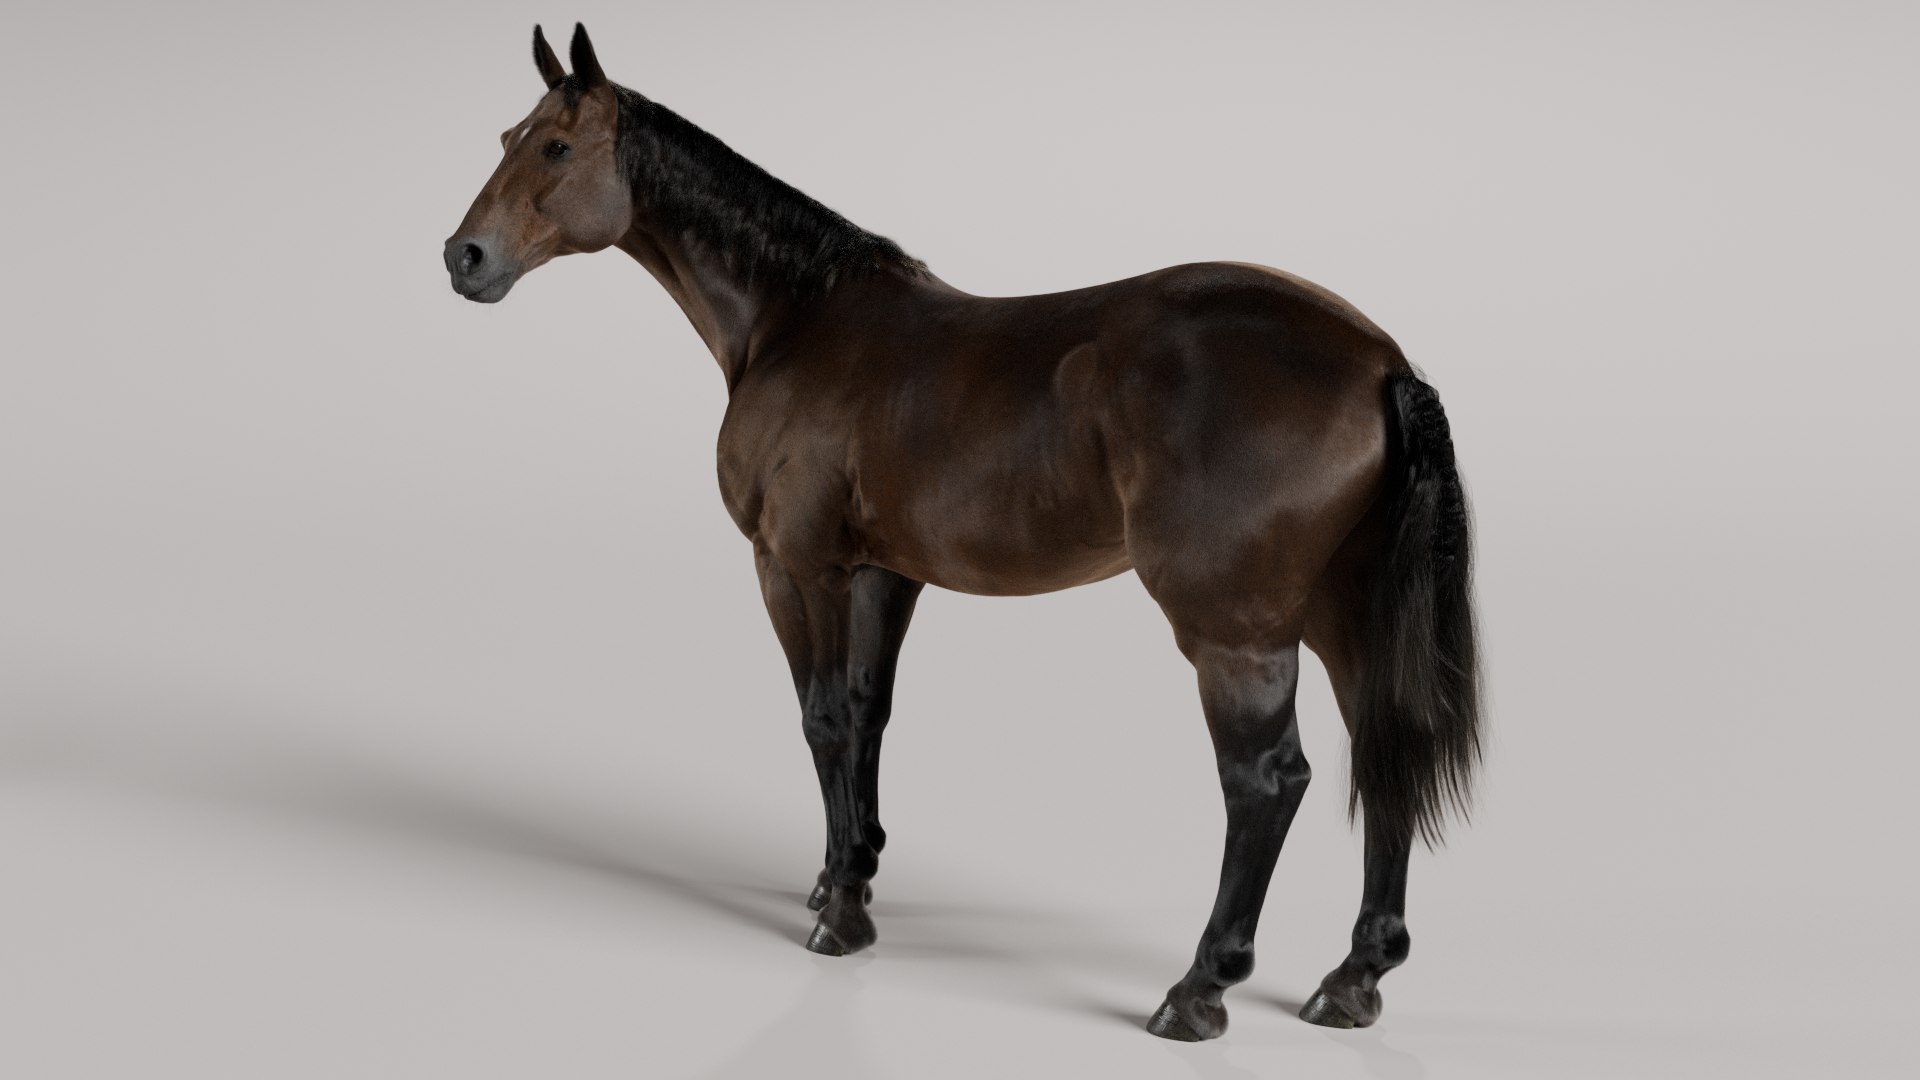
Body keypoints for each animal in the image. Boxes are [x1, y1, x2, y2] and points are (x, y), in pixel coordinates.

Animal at [443, 23, 1480, 1042]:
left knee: (1264, 782)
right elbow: (867, 716)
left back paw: (1198, 990)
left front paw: (839, 920)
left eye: (557, 147)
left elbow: (822, 717)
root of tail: (1380, 362)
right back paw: (1353, 978)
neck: (796, 321)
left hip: (1235, 636)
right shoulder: (883, 574)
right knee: (1385, 752)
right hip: (1346, 617)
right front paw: (848, 874)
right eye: (505, 137)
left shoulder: (797, 567)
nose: (464, 258)